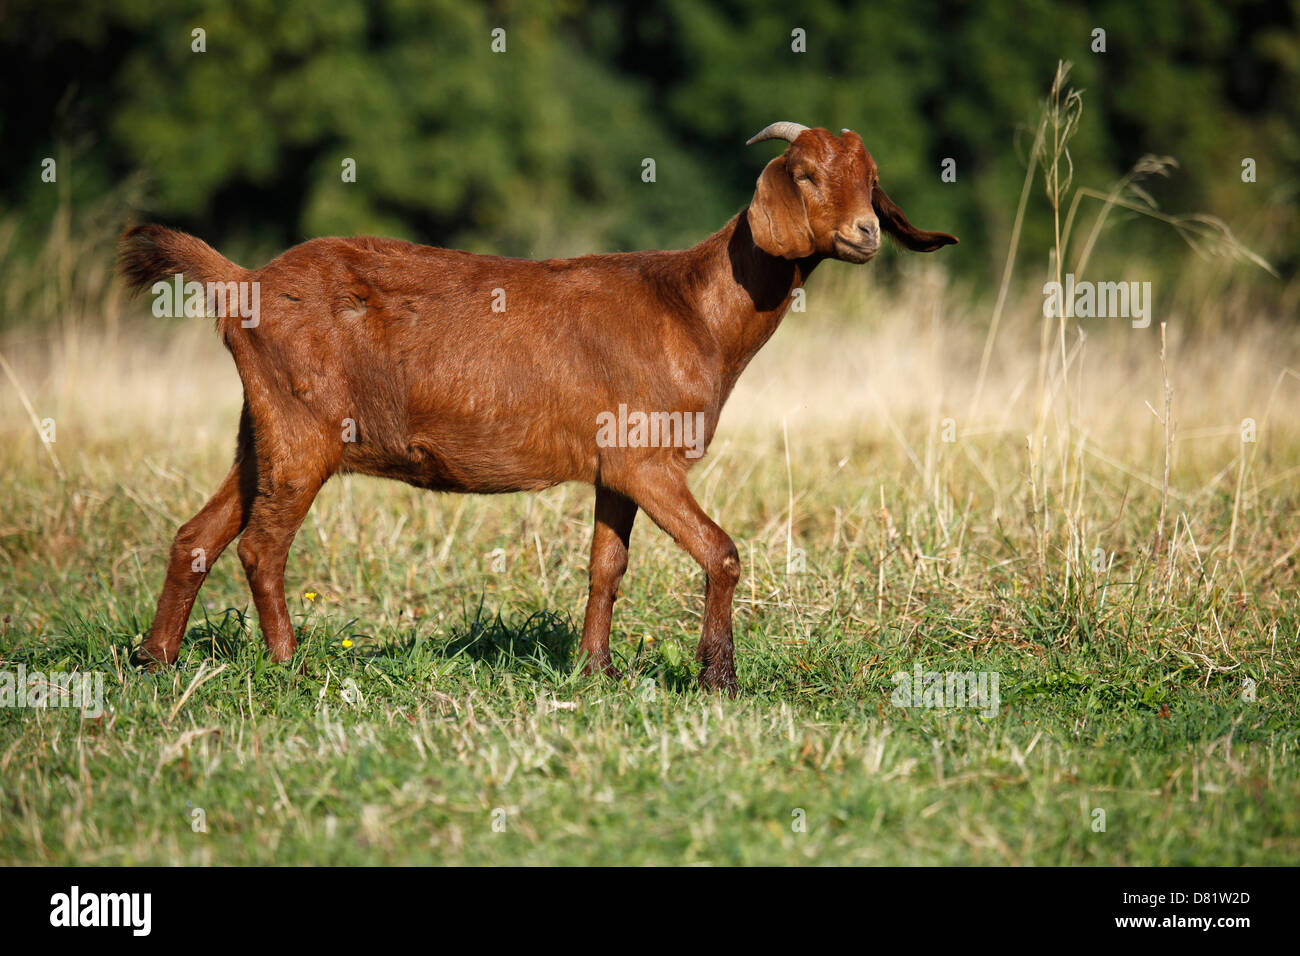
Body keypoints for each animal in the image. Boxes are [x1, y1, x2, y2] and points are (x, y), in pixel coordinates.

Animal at [118, 122, 957, 693]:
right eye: (806, 173)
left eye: (872, 178)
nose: (866, 233)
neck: (691, 307)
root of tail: (242, 282)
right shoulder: (649, 458)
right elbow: (721, 550)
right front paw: (718, 677)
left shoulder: (615, 467)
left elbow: (605, 565)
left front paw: (596, 669)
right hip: (304, 429)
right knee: (262, 546)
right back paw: (288, 663)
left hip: (260, 429)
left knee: (197, 536)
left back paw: (154, 660)